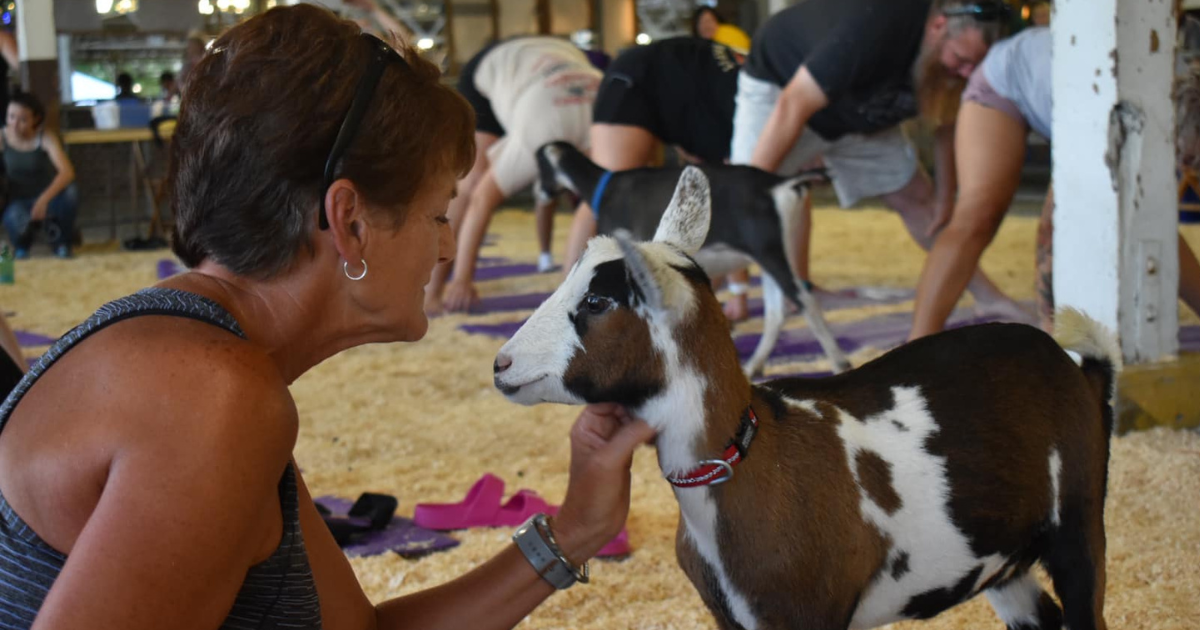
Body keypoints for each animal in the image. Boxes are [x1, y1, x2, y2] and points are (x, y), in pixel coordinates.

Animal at [496, 167, 1116, 630]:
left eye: (597, 302)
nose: (501, 365)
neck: (749, 460)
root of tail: (1080, 369)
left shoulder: (812, 613)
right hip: (1002, 560)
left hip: (1079, 520)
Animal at [535, 141, 851, 376]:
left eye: (538, 165)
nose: (540, 194)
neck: (606, 188)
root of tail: (780, 184)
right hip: (771, 256)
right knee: (777, 312)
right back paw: (754, 366)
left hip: (771, 252)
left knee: (805, 301)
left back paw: (840, 361)